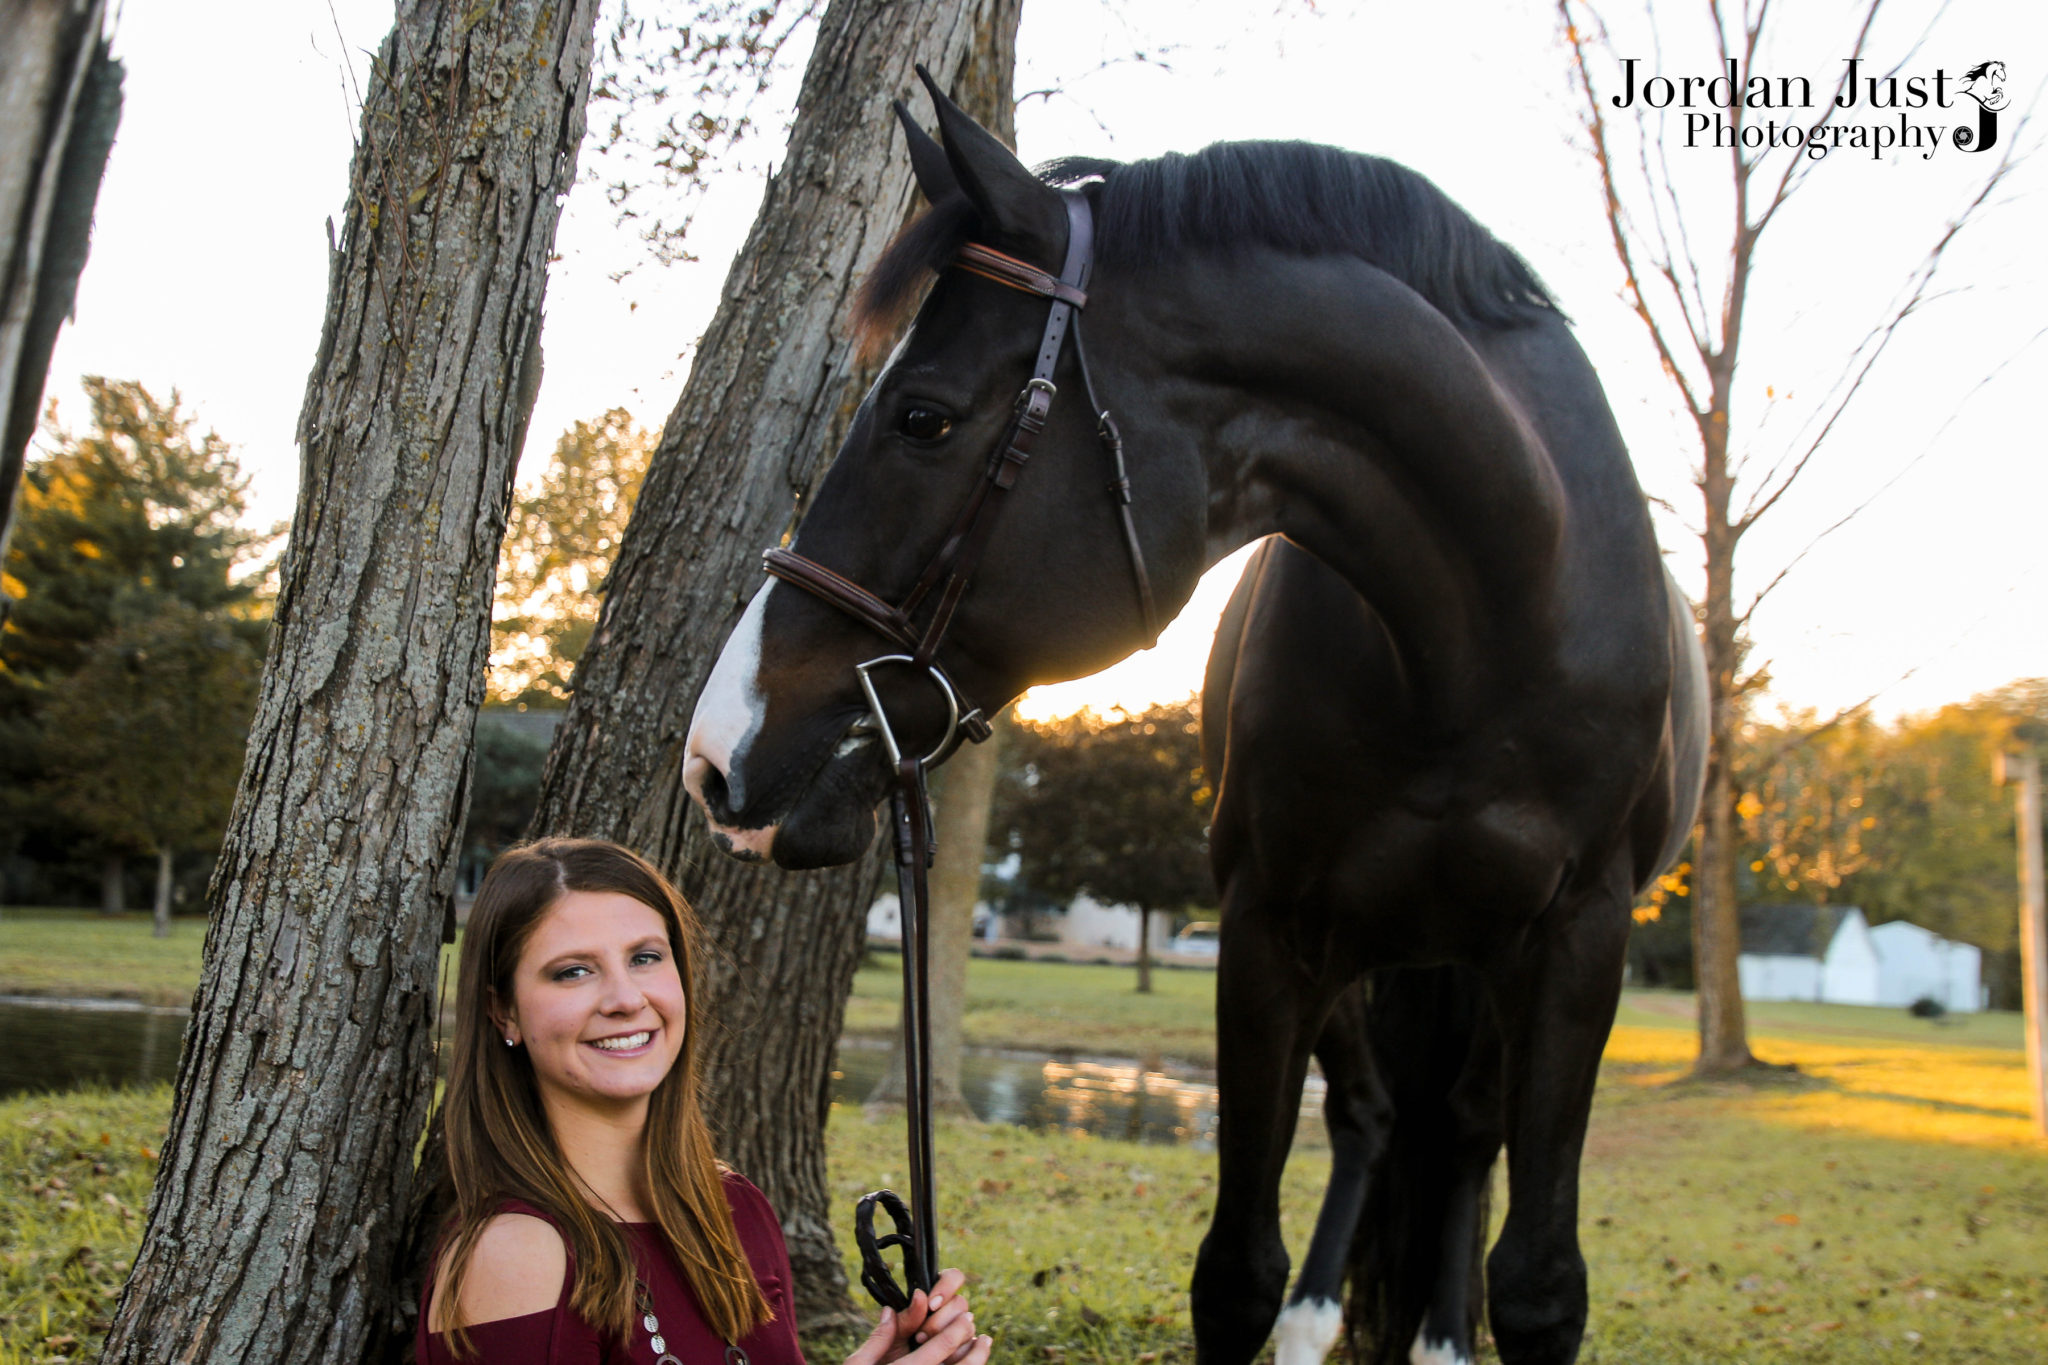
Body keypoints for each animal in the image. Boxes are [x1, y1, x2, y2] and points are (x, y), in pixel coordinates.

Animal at [681, 70, 1707, 1365]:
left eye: (920, 418)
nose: (714, 755)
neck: (1483, 631)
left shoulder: (1581, 943)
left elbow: (1538, 1286)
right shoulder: (1268, 930)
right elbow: (1234, 1272)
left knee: (1461, 1136)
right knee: (1374, 1122)